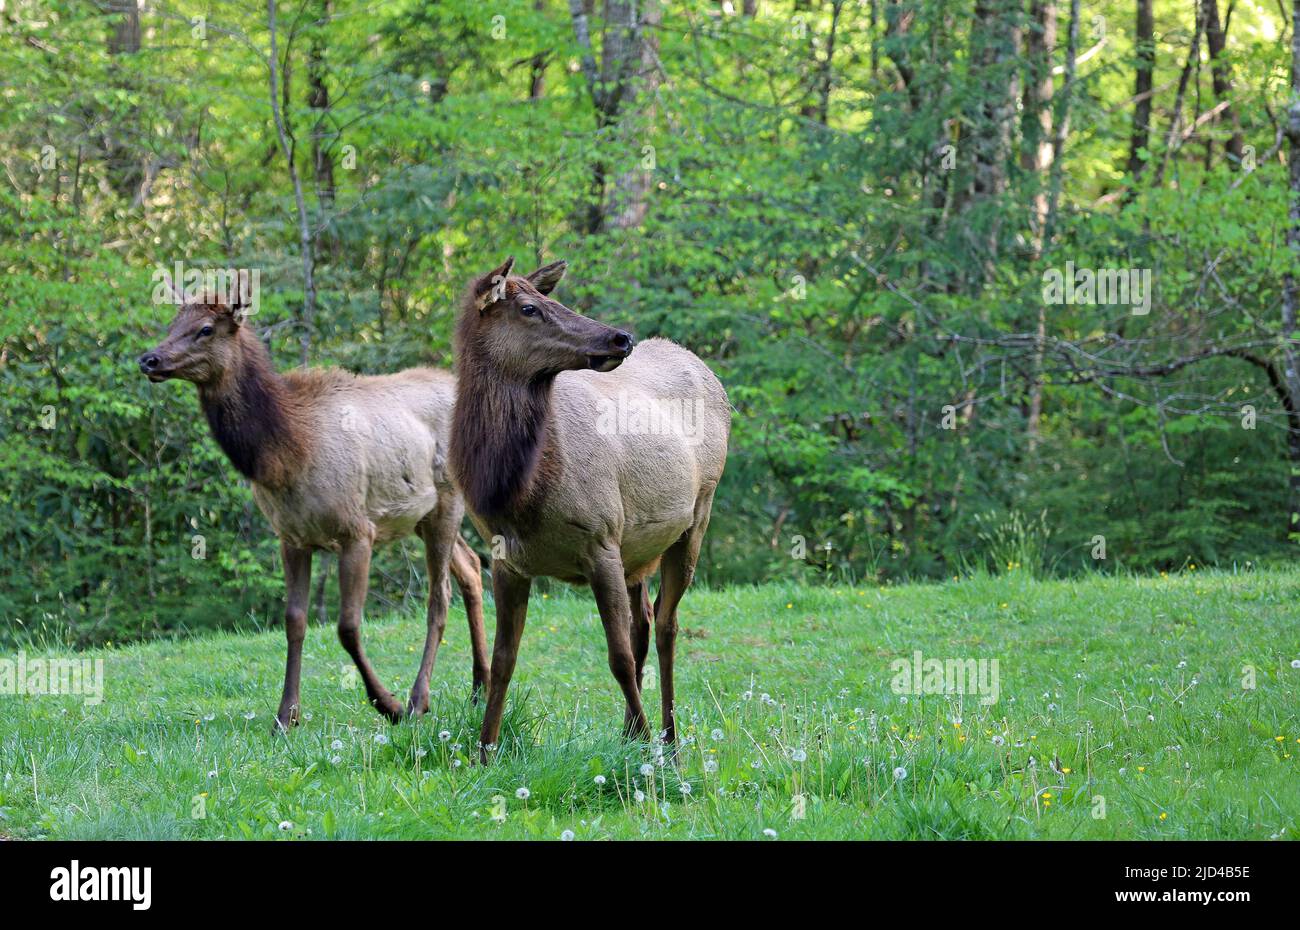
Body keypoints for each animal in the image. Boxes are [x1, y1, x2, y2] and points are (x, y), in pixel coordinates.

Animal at [138, 287, 489, 731]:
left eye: (204, 328)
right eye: (172, 324)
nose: (149, 359)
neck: (285, 455)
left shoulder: (358, 530)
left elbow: (348, 626)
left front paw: (387, 705)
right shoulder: (291, 537)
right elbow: (294, 621)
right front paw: (286, 715)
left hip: (448, 501)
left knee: (439, 596)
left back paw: (417, 699)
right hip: (422, 516)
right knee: (472, 568)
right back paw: (480, 685)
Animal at [449, 258, 730, 761]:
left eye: (552, 299)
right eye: (529, 308)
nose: (620, 338)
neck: (520, 491)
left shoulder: (601, 539)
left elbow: (617, 657)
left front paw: (647, 751)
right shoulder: (506, 559)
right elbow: (504, 660)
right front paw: (485, 750)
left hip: (697, 514)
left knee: (666, 624)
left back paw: (667, 741)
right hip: (638, 547)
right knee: (644, 621)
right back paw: (630, 736)